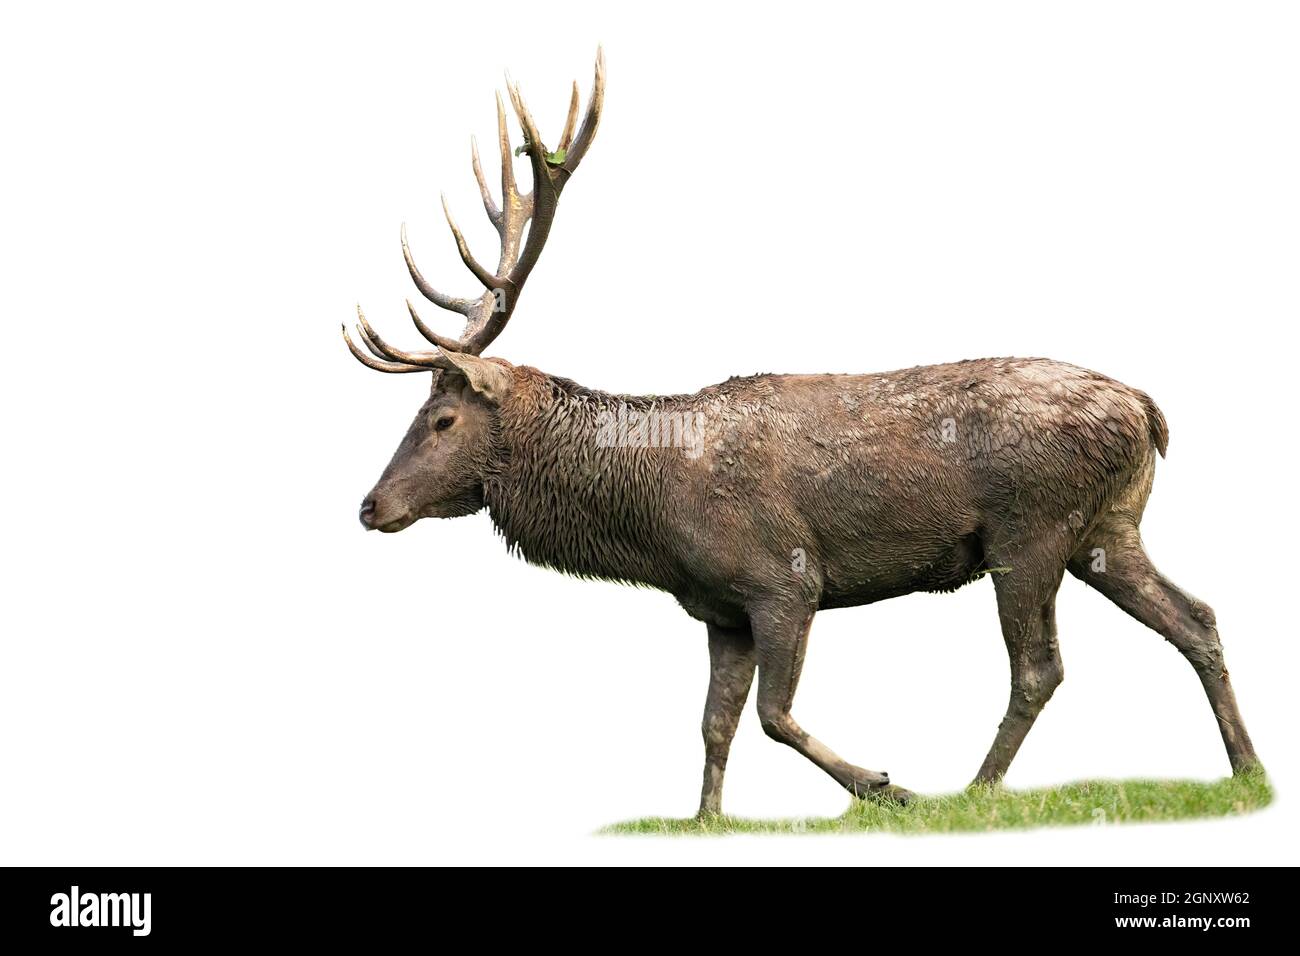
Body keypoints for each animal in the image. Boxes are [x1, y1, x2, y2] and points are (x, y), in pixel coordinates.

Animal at [343, 50, 1260, 816]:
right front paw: (706, 819)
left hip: (1029, 530)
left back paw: (973, 790)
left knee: (1041, 666)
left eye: (441, 417)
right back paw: (1247, 769)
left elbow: (775, 714)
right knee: (1197, 616)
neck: (652, 524)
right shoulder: (718, 609)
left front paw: (886, 786)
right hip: (1107, 528)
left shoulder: (784, 576)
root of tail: (1148, 410)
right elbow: (714, 723)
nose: (370, 506)